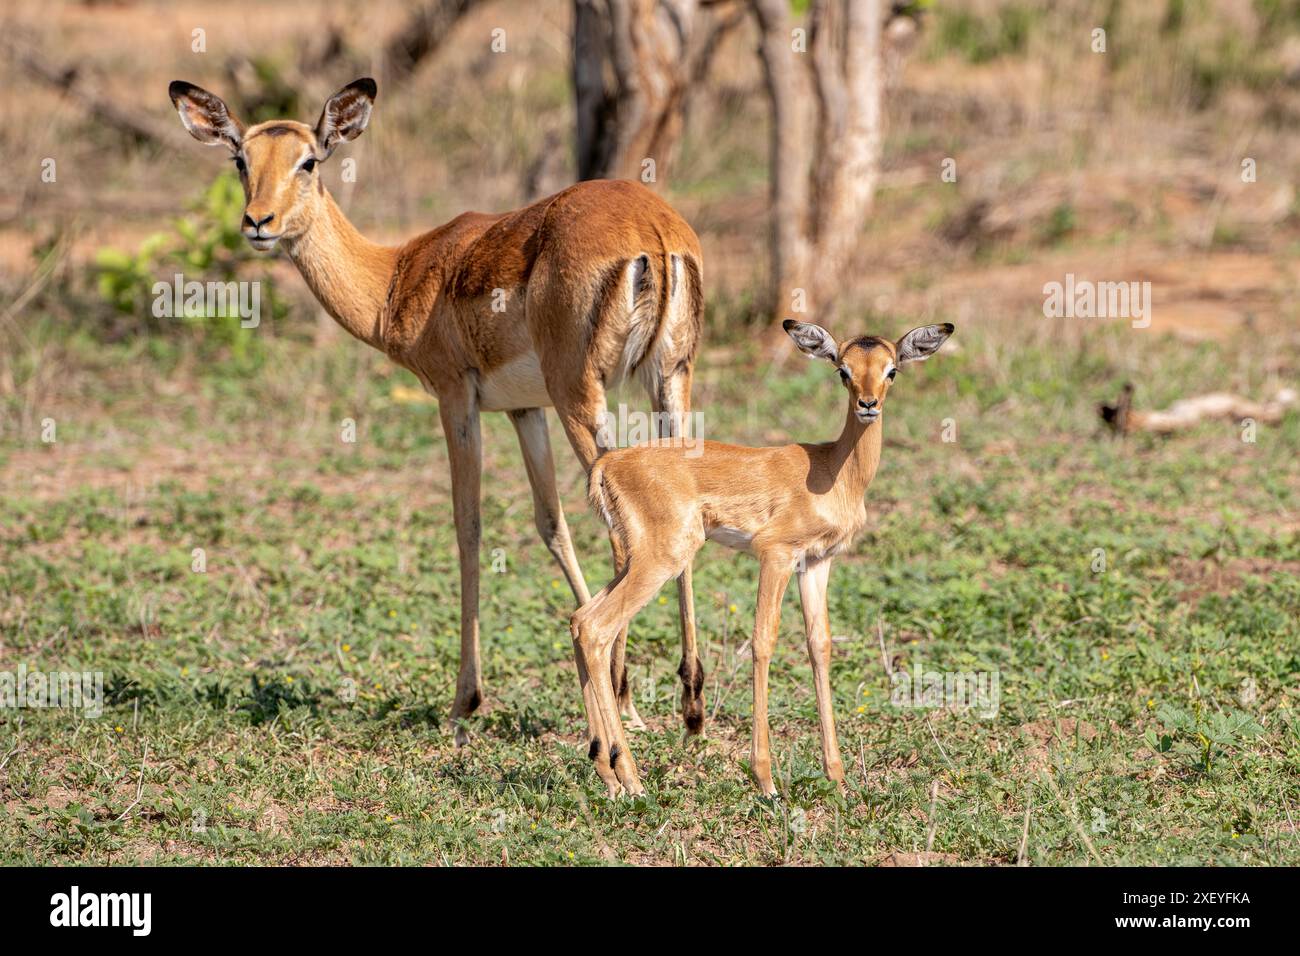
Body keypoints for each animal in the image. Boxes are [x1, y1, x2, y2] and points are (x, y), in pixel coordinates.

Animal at [167, 78, 705, 786]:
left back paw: (611, 750)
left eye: (309, 160)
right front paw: (626, 703)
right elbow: (550, 525)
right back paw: (689, 704)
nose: (259, 222)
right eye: (239, 158)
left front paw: (465, 705)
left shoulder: (457, 398)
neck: (399, 276)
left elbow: (467, 526)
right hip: (667, 384)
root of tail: (654, 229)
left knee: (623, 530)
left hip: (583, 397)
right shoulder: (523, 410)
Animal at [570, 319, 954, 796]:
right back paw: (631, 778)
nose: (868, 405)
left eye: (892, 370)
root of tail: (608, 465)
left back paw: (607, 772)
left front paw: (837, 776)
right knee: (597, 629)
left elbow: (819, 645)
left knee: (579, 619)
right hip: (662, 560)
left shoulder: (816, 563)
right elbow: (763, 641)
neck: (834, 470)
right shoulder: (776, 554)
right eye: (843, 370)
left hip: (632, 561)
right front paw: (766, 778)